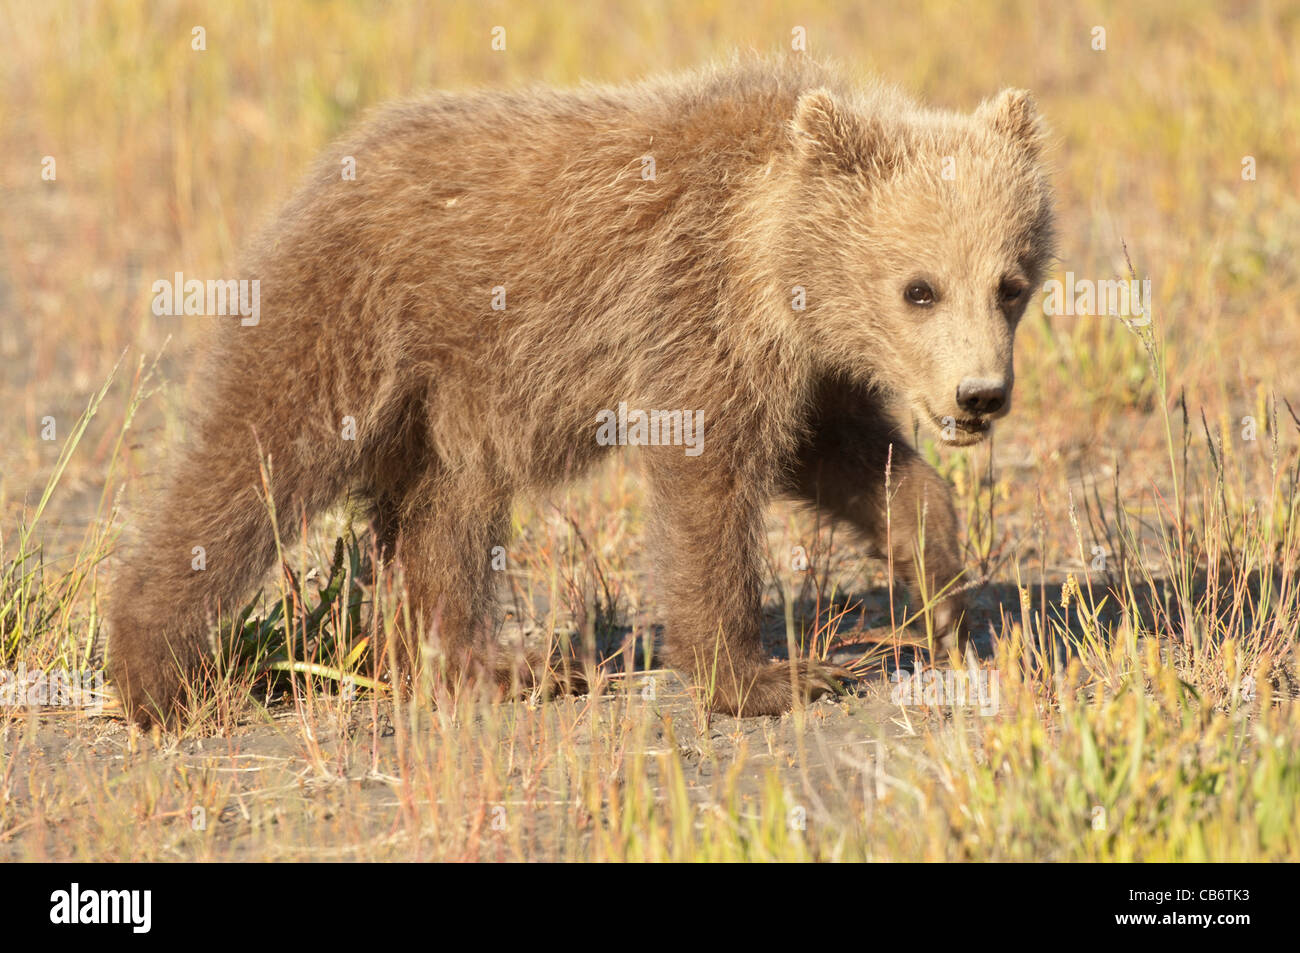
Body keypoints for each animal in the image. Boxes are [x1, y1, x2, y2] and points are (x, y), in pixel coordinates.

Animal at [106, 54, 1055, 728]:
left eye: (1010, 283)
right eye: (919, 287)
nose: (979, 395)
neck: (777, 257)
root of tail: (327, 167)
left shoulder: (805, 367)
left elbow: (850, 458)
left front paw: (941, 594)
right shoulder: (690, 306)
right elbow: (708, 482)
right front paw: (769, 675)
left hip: (453, 397)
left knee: (446, 512)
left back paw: (494, 664)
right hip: (357, 320)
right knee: (257, 459)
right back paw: (160, 675)